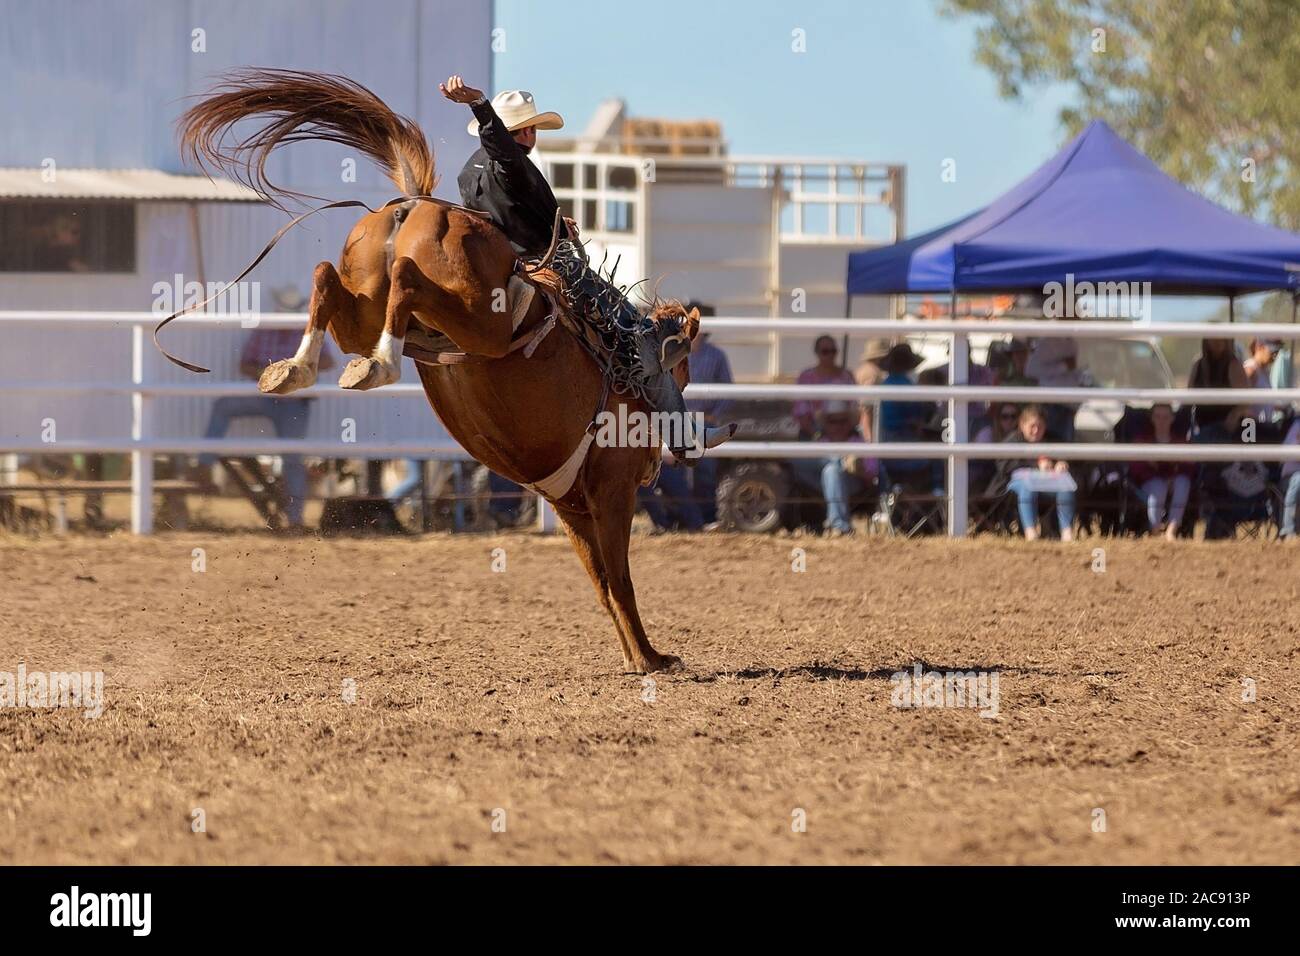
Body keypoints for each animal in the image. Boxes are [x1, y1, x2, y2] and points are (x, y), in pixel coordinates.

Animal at [168, 69, 698, 673]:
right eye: (682, 376)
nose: (665, 453)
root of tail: (416, 205)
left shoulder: (571, 505)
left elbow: (603, 582)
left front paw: (638, 655)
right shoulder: (610, 491)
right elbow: (621, 579)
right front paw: (651, 659)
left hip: (363, 308)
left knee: (330, 278)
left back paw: (303, 370)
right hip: (478, 320)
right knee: (406, 276)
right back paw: (377, 364)